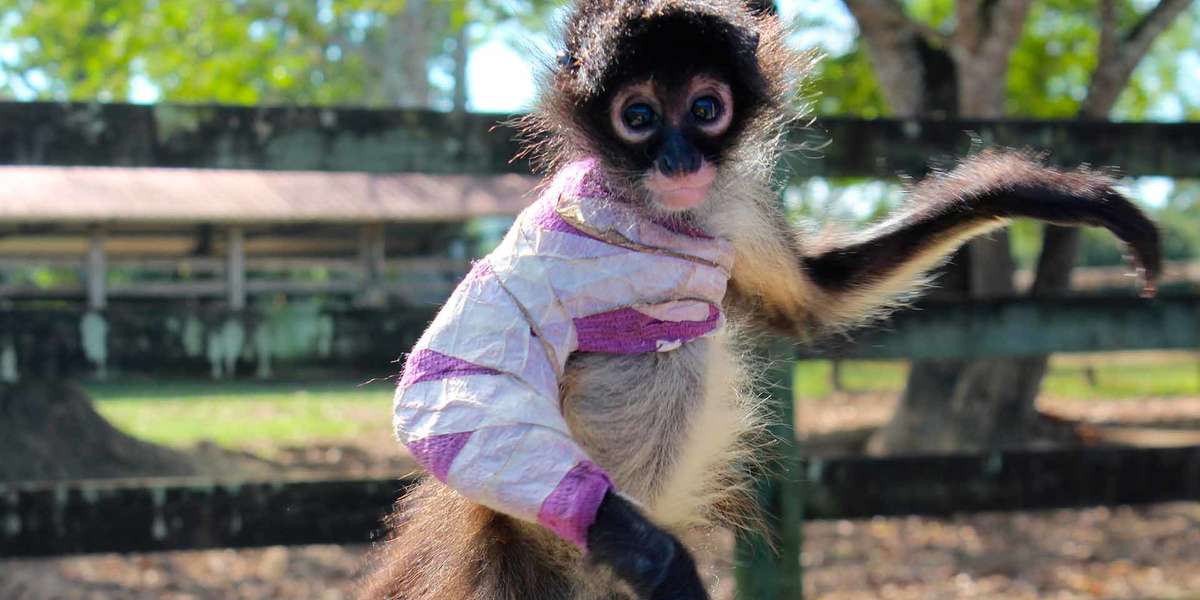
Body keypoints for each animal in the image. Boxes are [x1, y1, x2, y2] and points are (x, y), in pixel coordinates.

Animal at [360, 1, 1161, 599]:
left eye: (705, 108)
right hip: (503, 556)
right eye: (638, 117)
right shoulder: (554, 234)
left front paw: (1041, 192)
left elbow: (811, 303)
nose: (679, 158)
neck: (661, 218)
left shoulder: (735, 214)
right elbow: (447, 389)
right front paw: (664, 568)